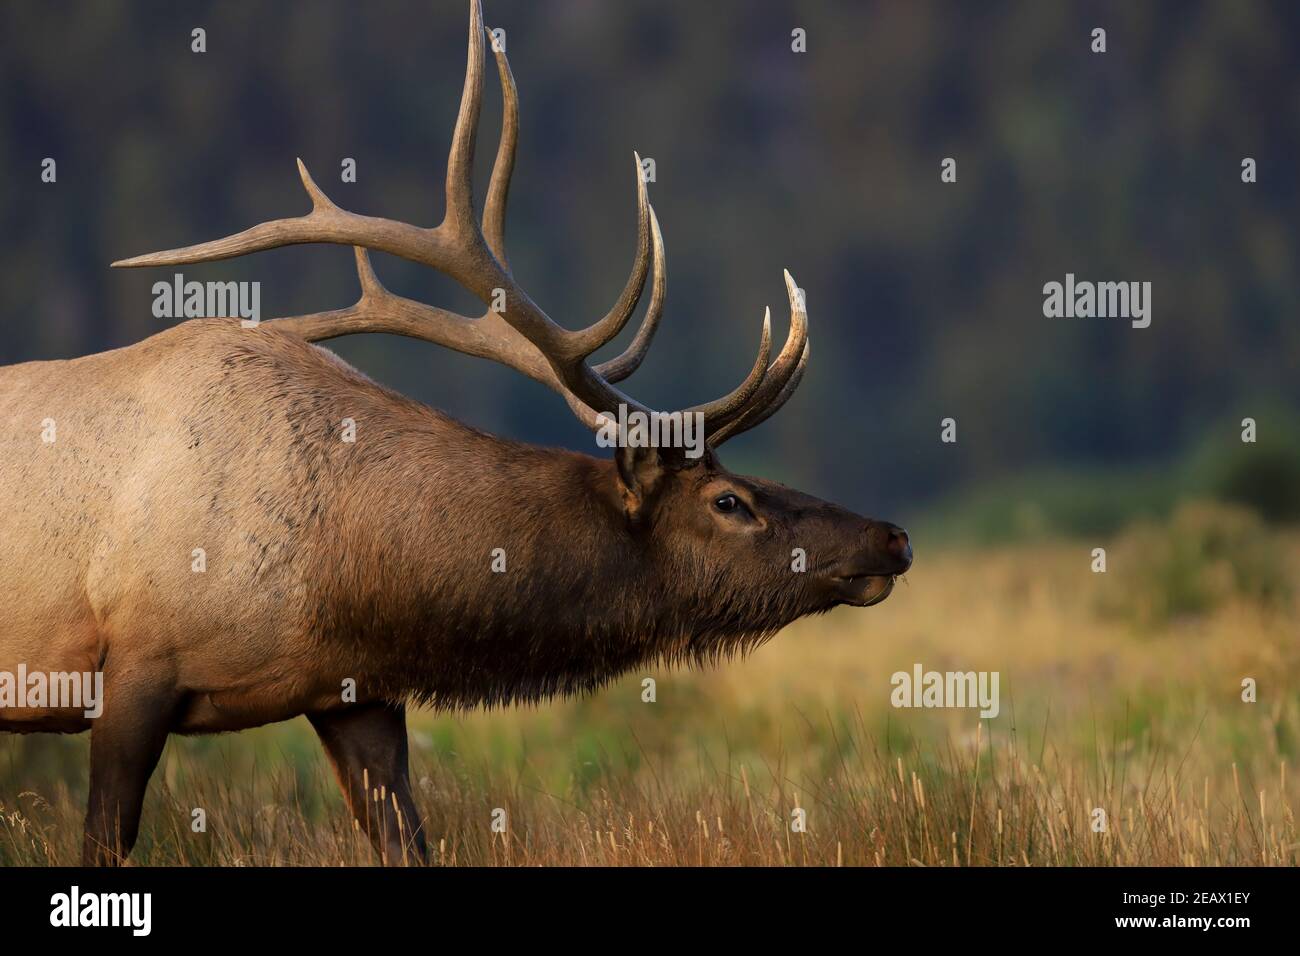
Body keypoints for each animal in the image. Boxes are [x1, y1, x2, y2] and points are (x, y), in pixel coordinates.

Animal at [0, 0, 912, 865]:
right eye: (728, 500)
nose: (891, 537)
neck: (341, 572)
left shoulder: (355, 692)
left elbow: (408, 839)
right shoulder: (133, 666)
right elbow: (103, 839)